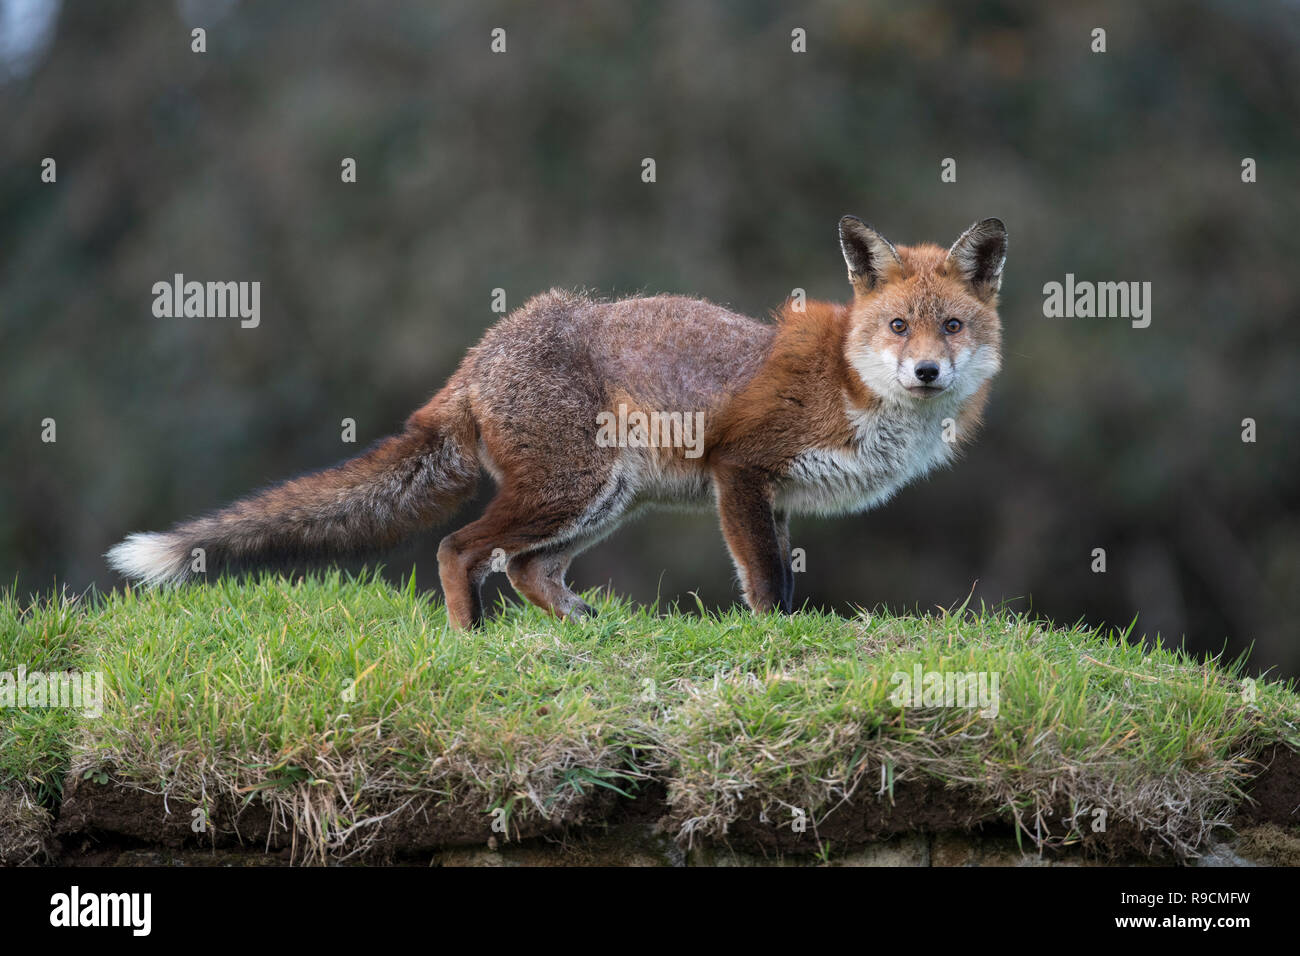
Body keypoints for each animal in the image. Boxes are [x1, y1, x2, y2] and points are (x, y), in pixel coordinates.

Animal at [108, 216, 1007, 629]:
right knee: (461, 549)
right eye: (898, 327)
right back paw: (468, 641)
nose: (928, 372)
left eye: (951, 327)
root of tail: (481, 353)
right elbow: (767, 585)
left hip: (604, 501)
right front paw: (776, 645)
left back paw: (582, 632)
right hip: (570, 490)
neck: (852, 388)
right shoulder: (741, 471)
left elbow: (780, 576)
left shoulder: (770, 495)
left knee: (525, 568)